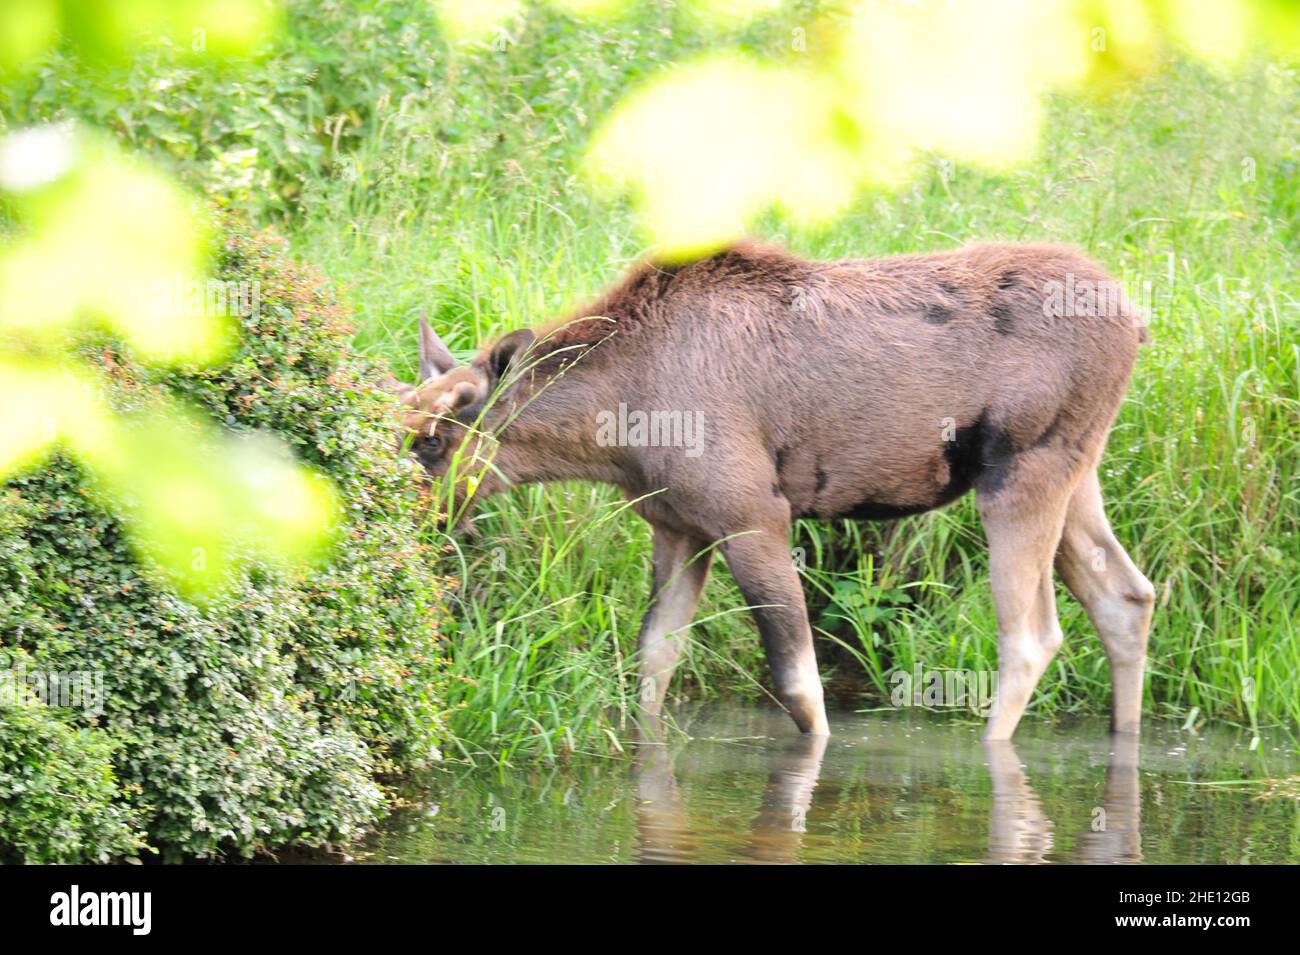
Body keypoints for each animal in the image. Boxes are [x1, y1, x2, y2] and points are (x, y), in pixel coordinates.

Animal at [389, 240, 1155, 741]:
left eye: (431, 442)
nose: (400, 526)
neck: (613, 431)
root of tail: (1137, 320)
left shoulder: (754, 517)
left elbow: (799, 688)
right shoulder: (679, 527)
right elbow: (653, 660)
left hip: (1022, 475)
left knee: (1029, 637)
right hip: (1078, 472)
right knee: (1126, 594)